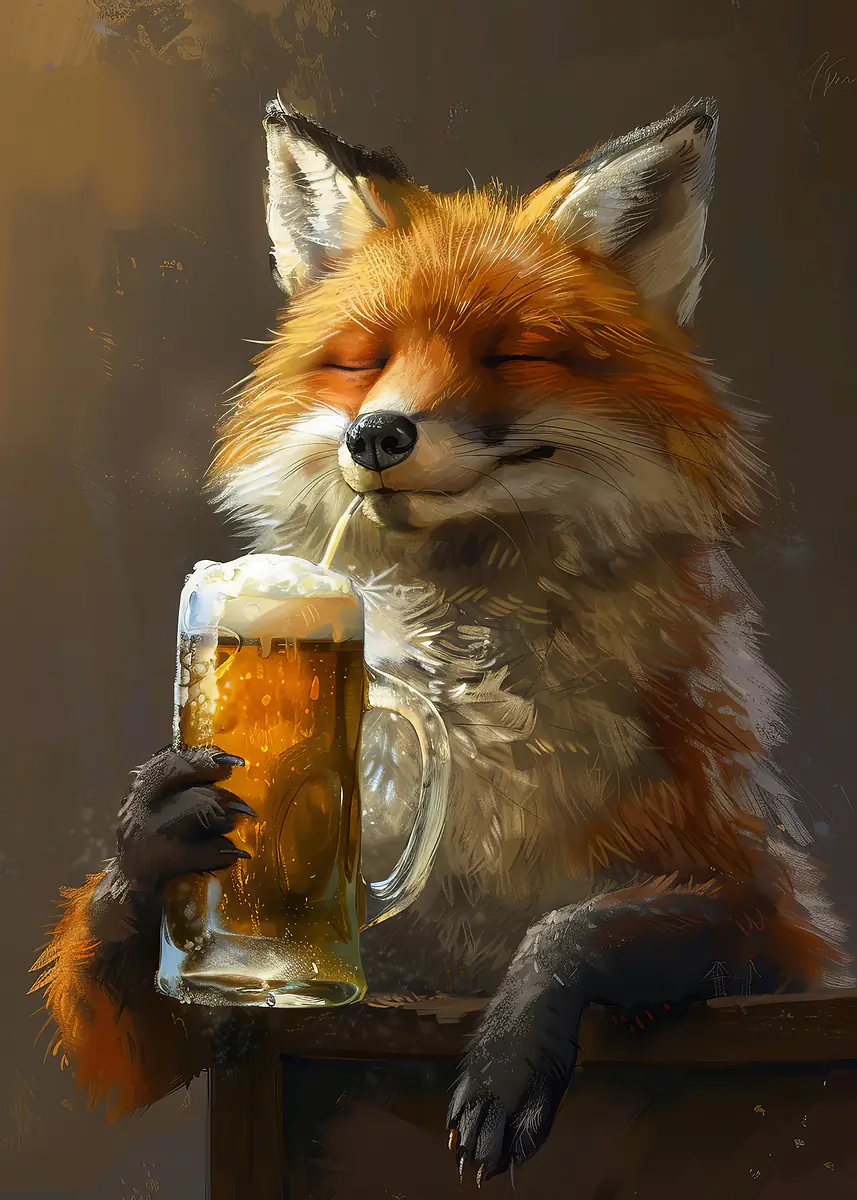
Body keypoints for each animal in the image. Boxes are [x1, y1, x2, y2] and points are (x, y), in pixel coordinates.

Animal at [32, 96, 851, 1181]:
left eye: (510, 354)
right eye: (362, 360)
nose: (375, 434)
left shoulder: (773, 920)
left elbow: (575, 927)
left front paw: (509, 1057)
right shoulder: (237, 1021)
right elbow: (131, 982)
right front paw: (157, 841)